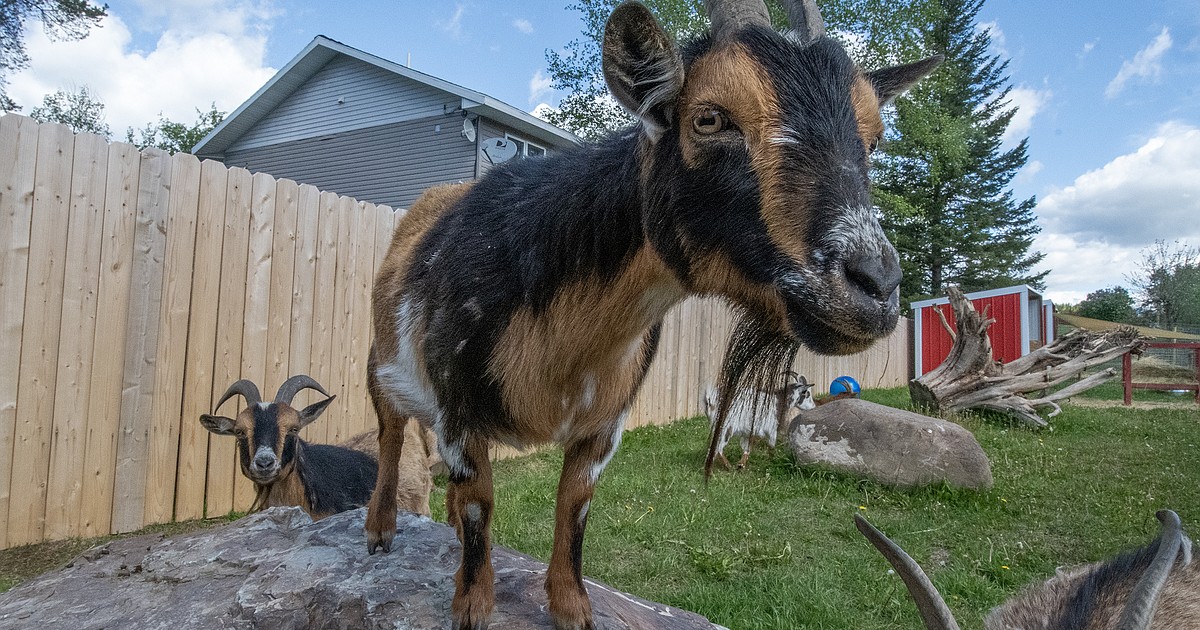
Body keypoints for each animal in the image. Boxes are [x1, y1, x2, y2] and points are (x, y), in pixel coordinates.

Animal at [363, 1, 941, 627]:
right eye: (709, 118)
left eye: (874, 138)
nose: (876, 286)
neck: (566, 345)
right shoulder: (459, 408)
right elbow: (479, 504)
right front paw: (472, 605)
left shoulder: (605, 423)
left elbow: (575, 505)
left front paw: (572, 606)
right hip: (382, 359)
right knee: (390, 428)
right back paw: (379, 529)